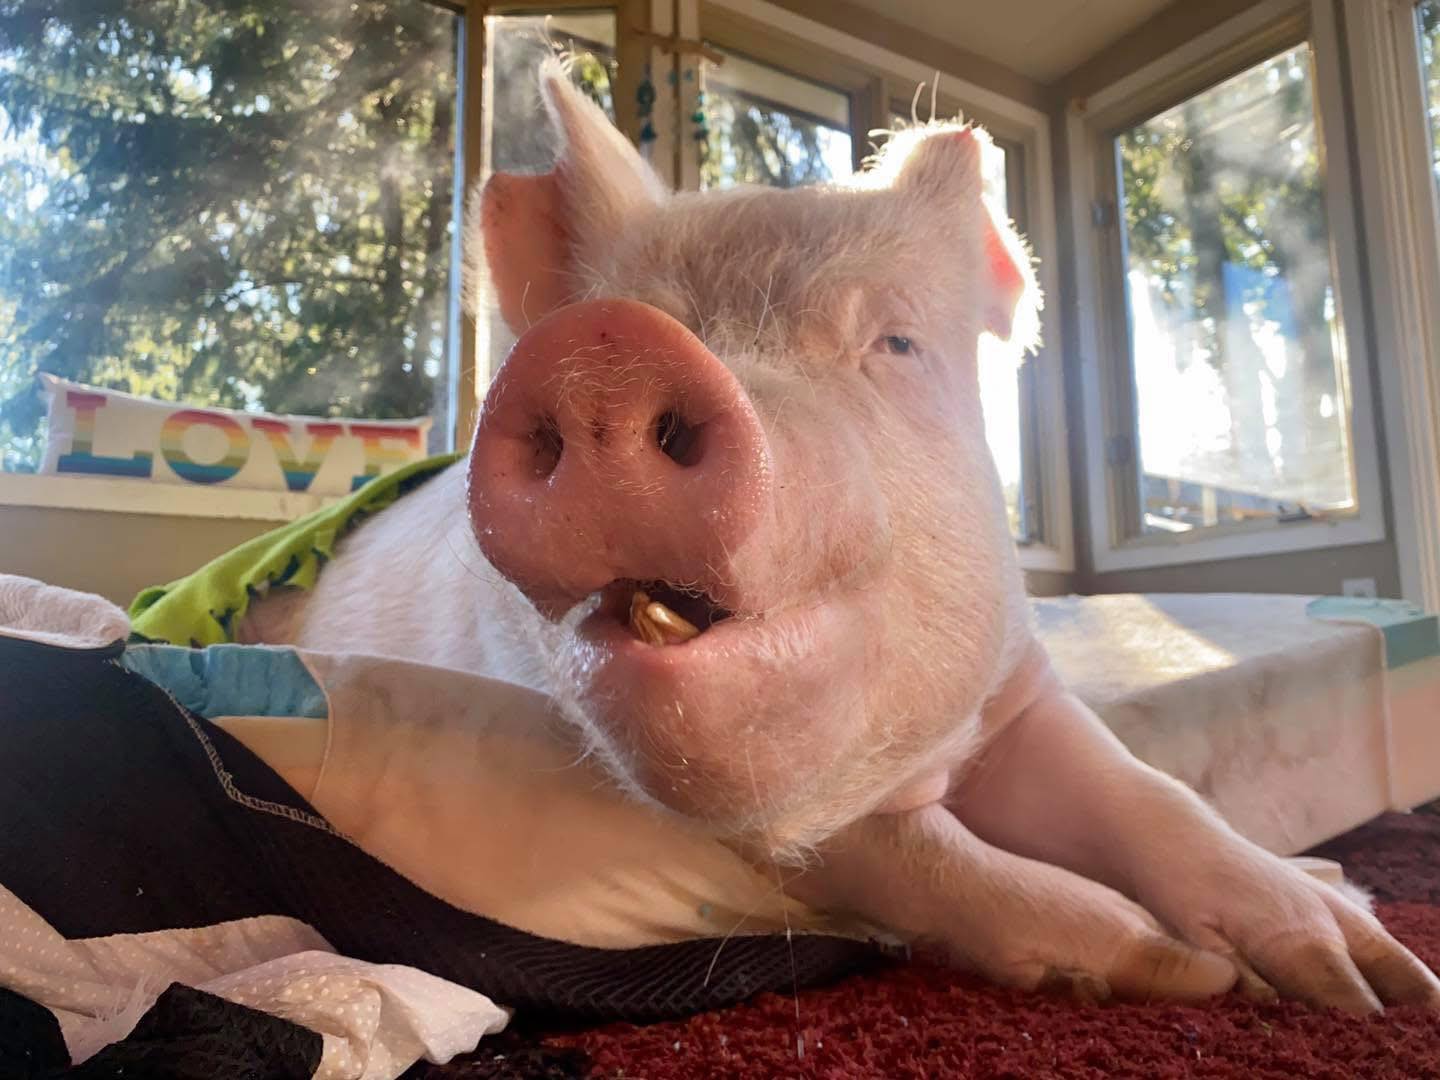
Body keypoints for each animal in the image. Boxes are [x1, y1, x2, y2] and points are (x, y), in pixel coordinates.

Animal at [242, 63, 1440, 1014]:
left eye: (897, 342)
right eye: (613, 319)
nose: (608, 347)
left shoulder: (1021, 688)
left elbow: (1147, 793)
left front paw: (1372, 989)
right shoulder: (804, 839)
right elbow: (931, 856)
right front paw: (1191, 974)